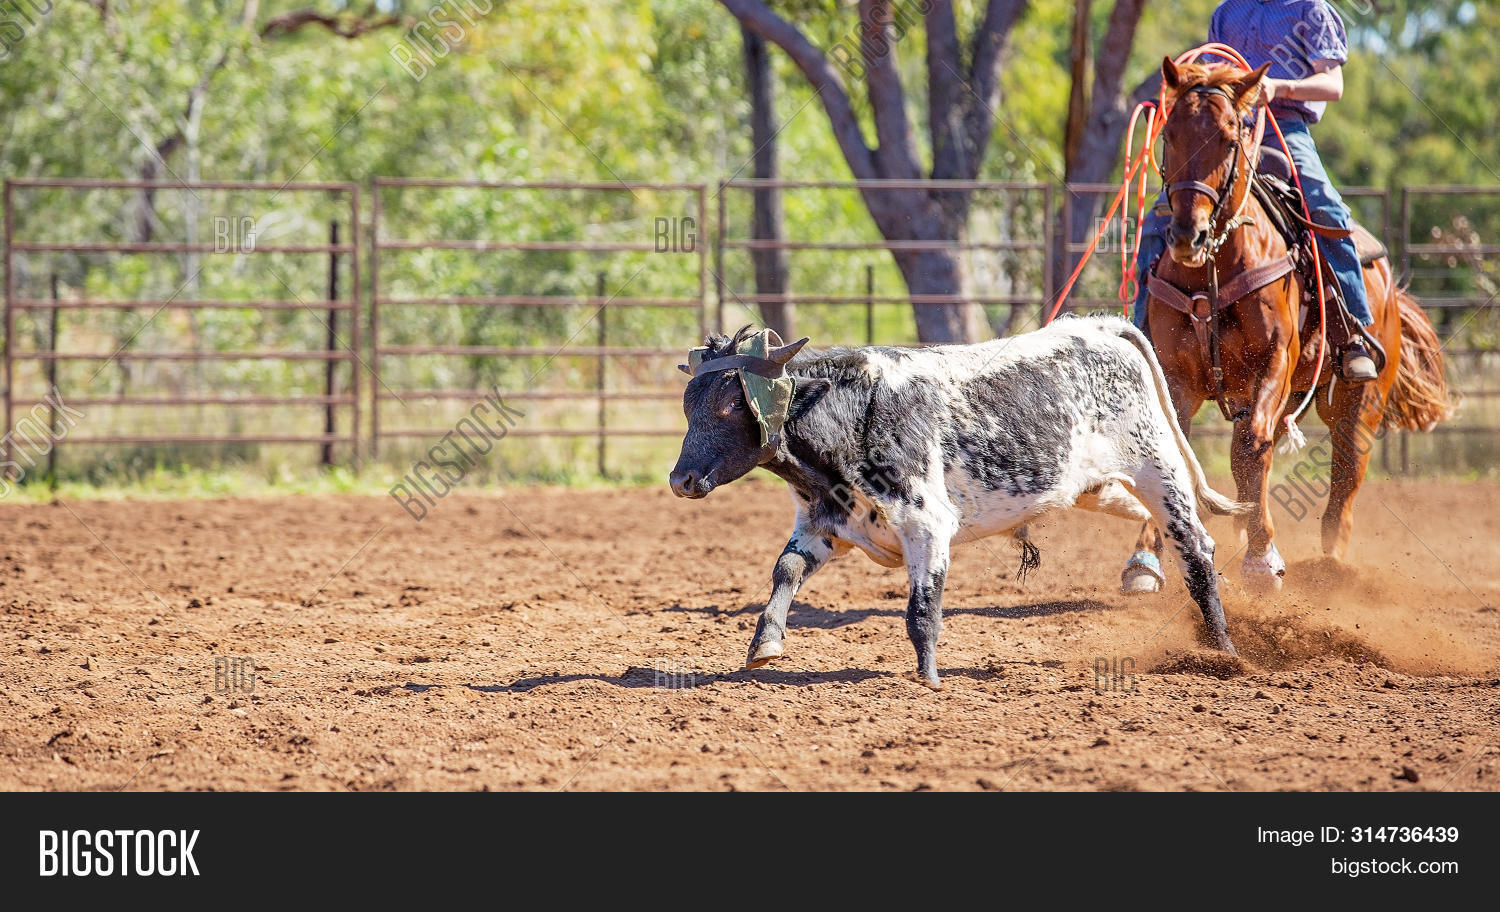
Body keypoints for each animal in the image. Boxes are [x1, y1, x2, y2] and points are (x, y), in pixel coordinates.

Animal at [669, 317, 1247, 689]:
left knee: (1196, 548)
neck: (851, 416)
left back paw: (1222, 649)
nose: (681, 479)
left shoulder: (926, 524)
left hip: (1157, 465)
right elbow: (785, 570)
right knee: (1159, 526)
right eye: (689, 405)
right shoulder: (819, 523)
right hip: (1099, 489)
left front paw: (928, 679)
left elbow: (922, 607)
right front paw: (764, 645)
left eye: (730, 403)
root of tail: (1101, 328)